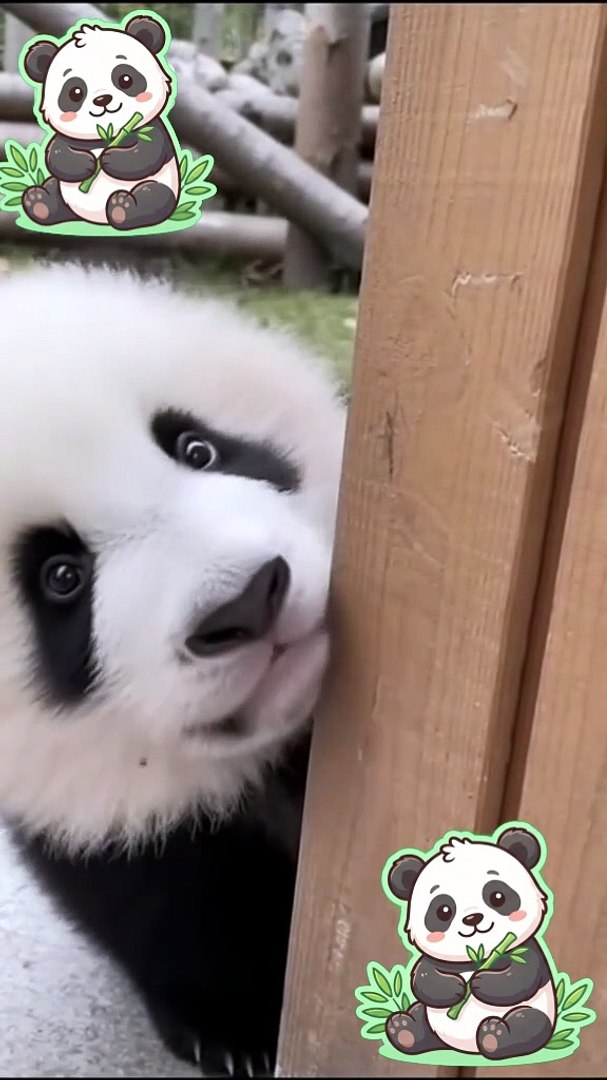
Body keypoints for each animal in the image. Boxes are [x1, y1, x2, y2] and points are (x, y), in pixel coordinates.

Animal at [21, 16, 180, 230]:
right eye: (75, 92)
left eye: (125, 79)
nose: (102, 99)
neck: (107, 133)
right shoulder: (69, 138)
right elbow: (57, 153)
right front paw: (87, 163)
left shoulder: (148, 127)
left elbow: (149, 152)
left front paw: (108, 158)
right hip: (63, 192)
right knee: (53, 190)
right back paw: (39, 201)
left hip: (164, 187)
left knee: (155, 196)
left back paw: (122, 208)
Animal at [385, 828, 556, 1061]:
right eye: (443, 910)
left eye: (498, 896)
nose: (473, 918)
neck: (478, 955)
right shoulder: (436, 960)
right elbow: (424, 977)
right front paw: (456, 987)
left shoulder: (522, 949)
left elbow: (522, 976)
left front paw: (479, 982)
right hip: (431, 1020)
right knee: (420, 1017)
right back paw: (404, 1029)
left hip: (540, 1013)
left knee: (529, 1023)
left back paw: (494, 1036)